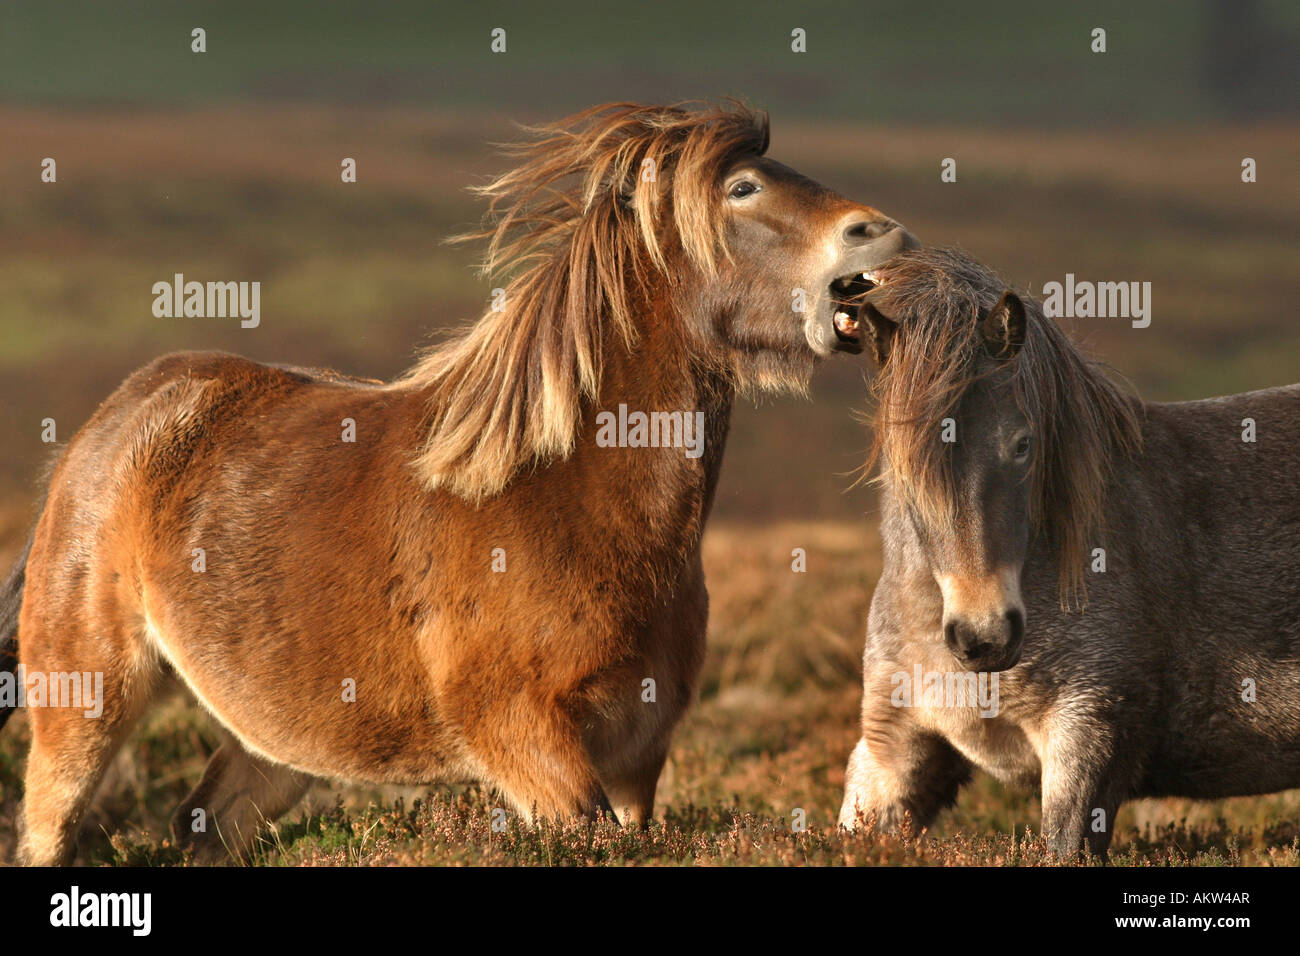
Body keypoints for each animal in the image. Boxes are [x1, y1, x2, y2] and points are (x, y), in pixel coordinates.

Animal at [0, 101, 916, 865]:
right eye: (743, 186)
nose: (885, 236)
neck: (571, 498)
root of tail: (107, 426)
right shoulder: (532, 749)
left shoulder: (636, 764)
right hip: (87, 697)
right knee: (50, 822)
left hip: (270, 745)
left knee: (203, 828)